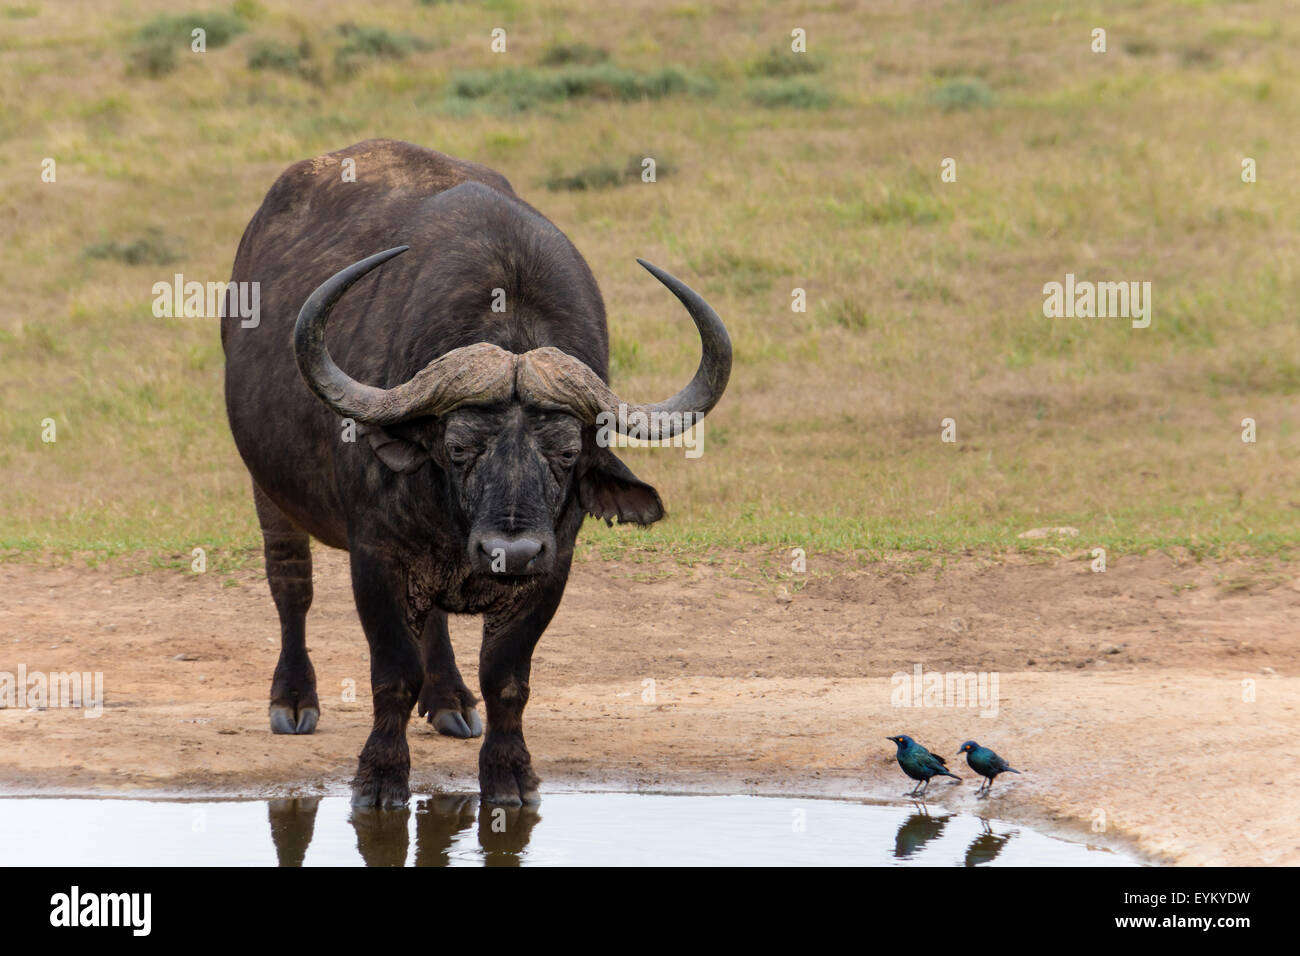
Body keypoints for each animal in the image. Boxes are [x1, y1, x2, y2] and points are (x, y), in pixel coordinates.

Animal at [222, 139, 731, 807]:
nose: (508, 552)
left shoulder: (552, 567)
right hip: (268, 492)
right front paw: (380, 777)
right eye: (459, 447)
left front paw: (510, 774)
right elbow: (392, 674)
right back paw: (293, 698)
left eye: (566, 453)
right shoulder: (376, 557)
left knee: (435, 620)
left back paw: (449, 701)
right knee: (291, 588)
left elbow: (507, 678)